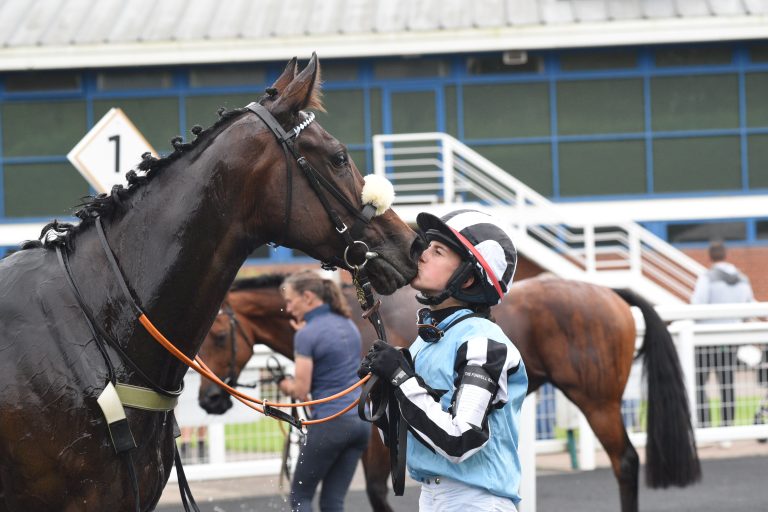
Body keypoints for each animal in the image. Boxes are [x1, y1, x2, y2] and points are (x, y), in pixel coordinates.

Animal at [197, 274, 701, 512]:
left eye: (219, 336)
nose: (208, 400)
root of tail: (608, 293)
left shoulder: (380, 423)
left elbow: (378, 491)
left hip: (597, 400)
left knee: (626, 462)